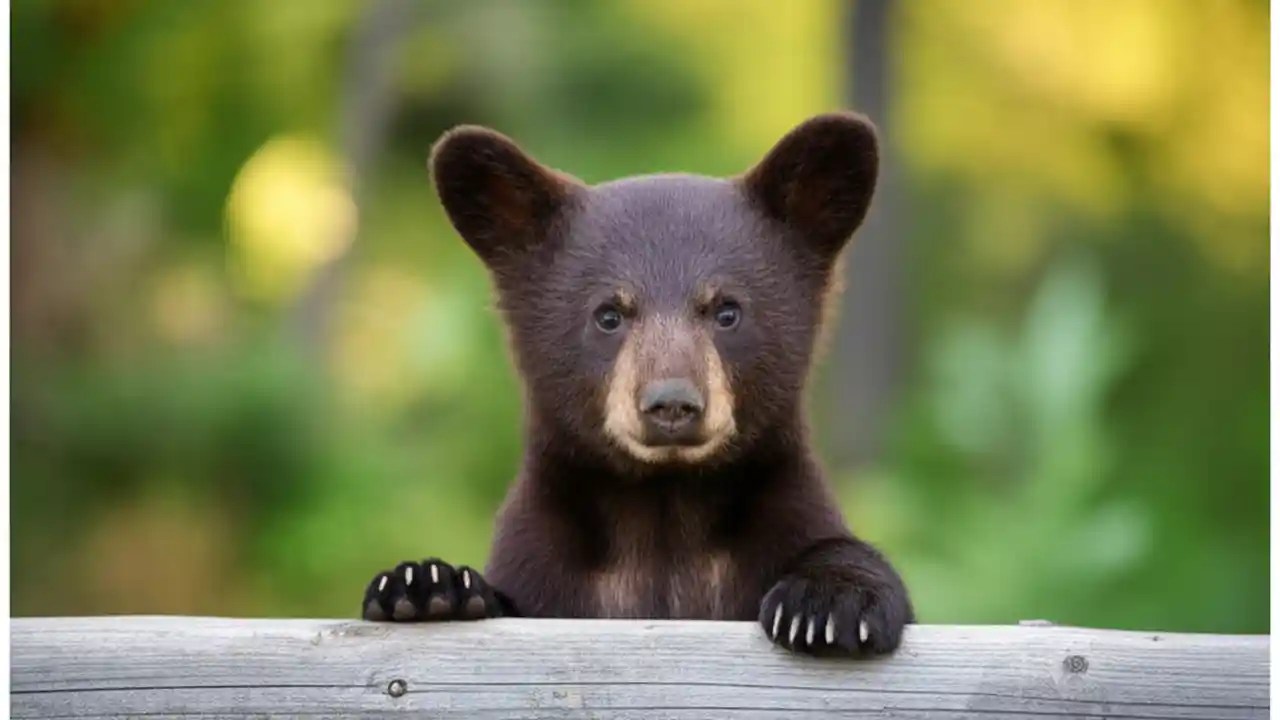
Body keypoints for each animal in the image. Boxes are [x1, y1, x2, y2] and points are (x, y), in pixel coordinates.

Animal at [361, 112, 914, 656]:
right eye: (608, 315)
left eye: (727, 311)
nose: (672, 403)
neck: (663, 509)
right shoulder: (540, 563)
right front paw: (425, 586)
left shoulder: (784, 519)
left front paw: (831, 599)